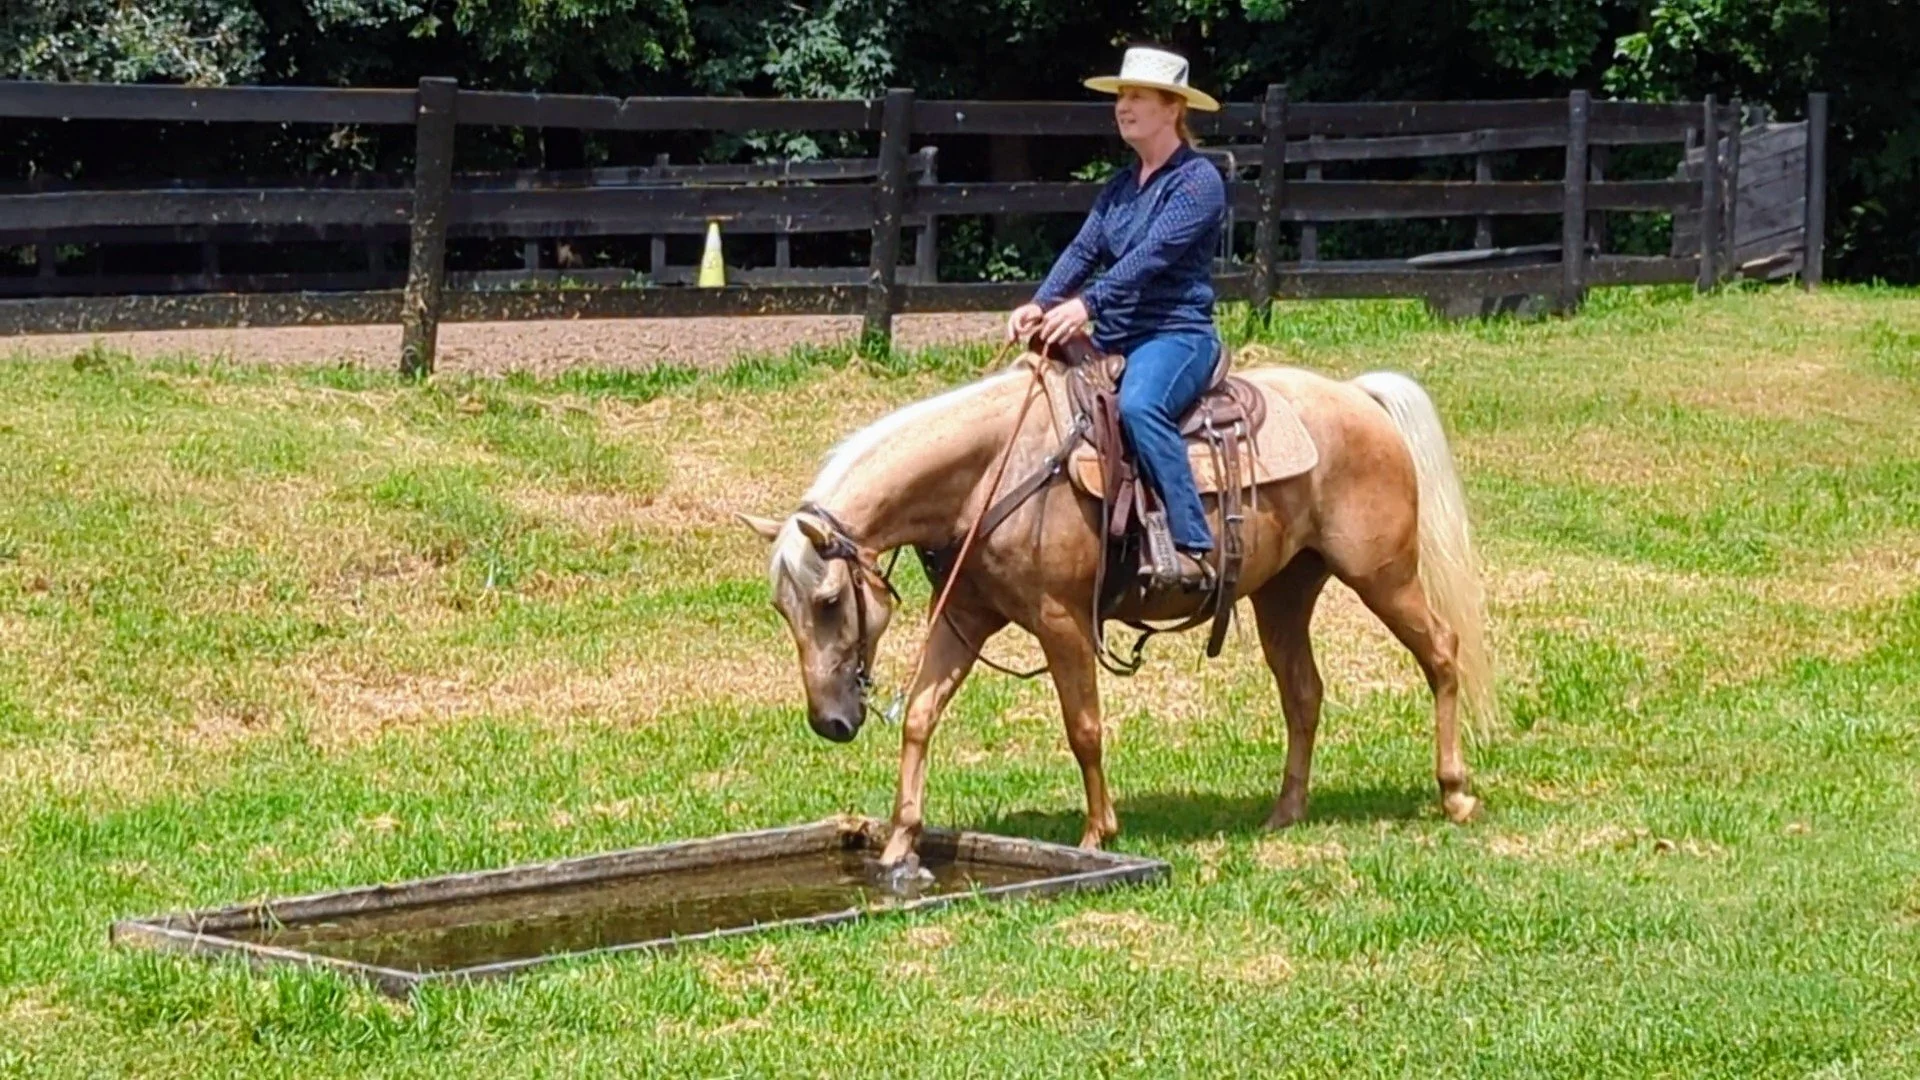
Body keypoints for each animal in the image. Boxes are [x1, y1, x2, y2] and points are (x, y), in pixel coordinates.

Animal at [739, 351, 1493, 868]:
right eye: (782, 608)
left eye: (828, 600)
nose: (831, 723)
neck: (994, 472)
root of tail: (1359, 397)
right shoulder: (964, 619)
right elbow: (922, 715)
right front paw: (900, 843)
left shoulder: (1062, 622)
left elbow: (1084, 729)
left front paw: (1098, 833)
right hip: (1285, 592)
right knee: (1303, 693)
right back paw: (1285, 811)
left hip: (1384, 576)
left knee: (1442, 654)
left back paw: (1455, 793)